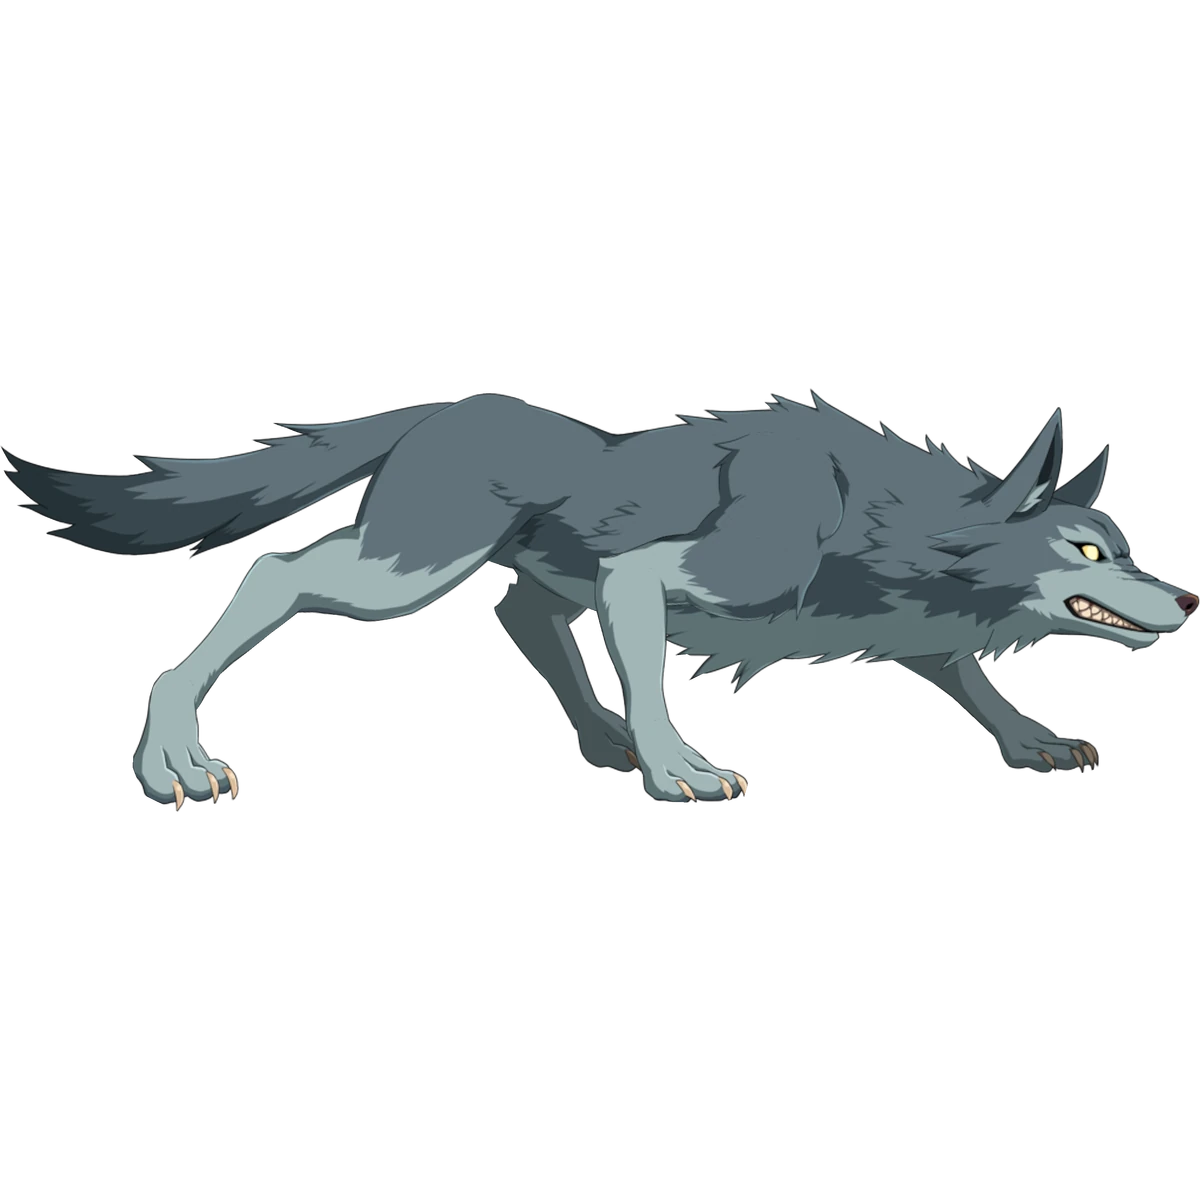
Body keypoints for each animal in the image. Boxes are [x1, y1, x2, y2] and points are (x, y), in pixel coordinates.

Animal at [4, 392, 1194, 808]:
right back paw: (173, 759)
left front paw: (1037, 744)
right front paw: (682, 771)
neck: (882, 516)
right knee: (275, 573)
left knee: (523, 619)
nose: (1186, 600)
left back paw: (602, 741)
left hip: (482, 566)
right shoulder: (653, 576)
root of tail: (440, 410)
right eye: (1086, 547)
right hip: (405, 571)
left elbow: (970, 680)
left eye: (1123, 550)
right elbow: (660, 680)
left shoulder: (898, 624)